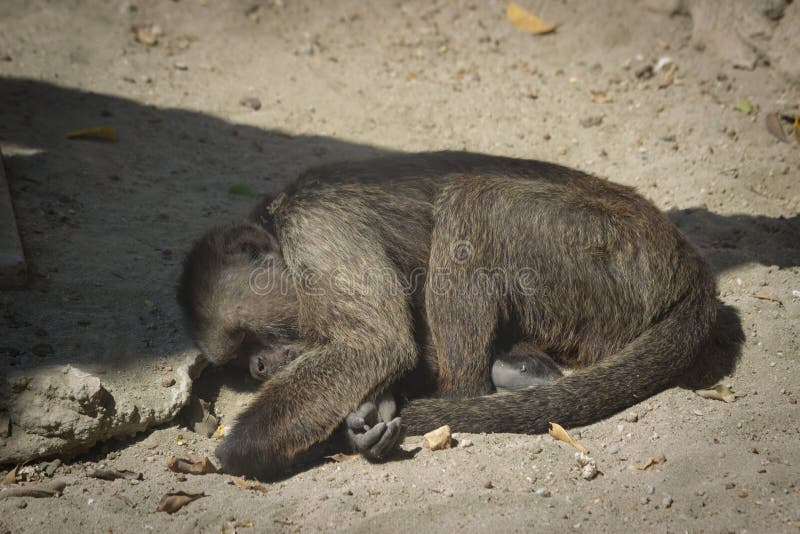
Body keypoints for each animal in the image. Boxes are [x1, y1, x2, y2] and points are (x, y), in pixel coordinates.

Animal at [177, 151, 742, 480]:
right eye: (241, 360)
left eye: (248, 342)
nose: (259, 369)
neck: (280, 224)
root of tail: (686, 261)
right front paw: (369, 411)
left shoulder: (314, 227)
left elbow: (376, 345)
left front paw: (236, 453)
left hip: (609, 252)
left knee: (477, 200)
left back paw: (459, 396)